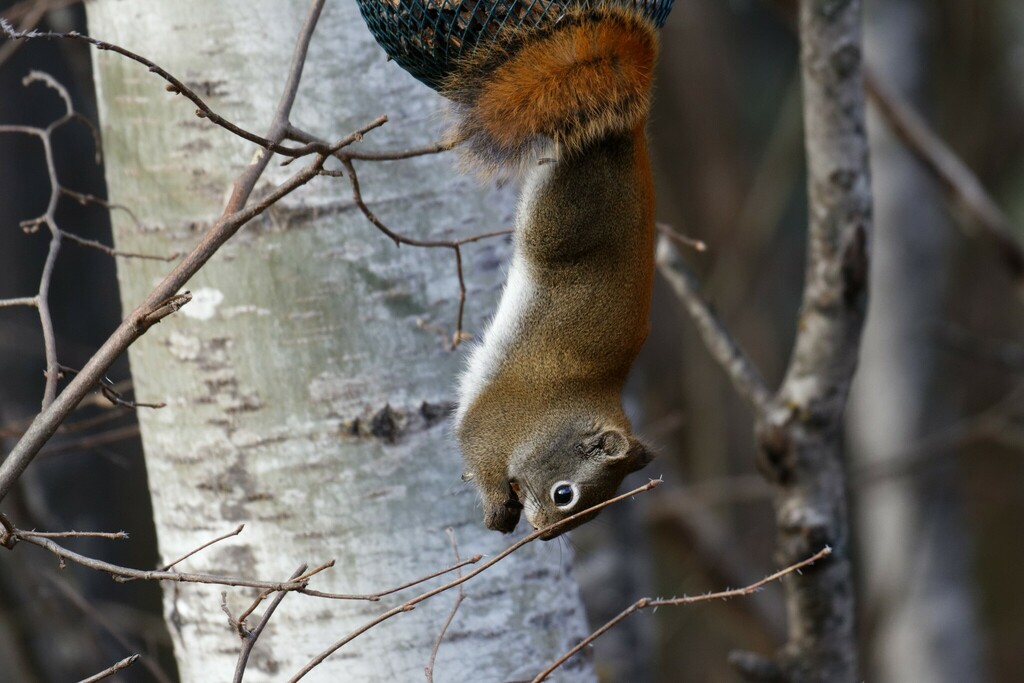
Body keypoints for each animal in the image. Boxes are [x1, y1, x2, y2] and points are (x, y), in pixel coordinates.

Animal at [447, 5, 660, 538]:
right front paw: (497, 510)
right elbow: (479, 457)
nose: (544, 533)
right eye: (566, 495)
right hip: (561, 219)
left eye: (592, 515)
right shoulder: (493, 427)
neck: (555, 414)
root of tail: (632, 134)